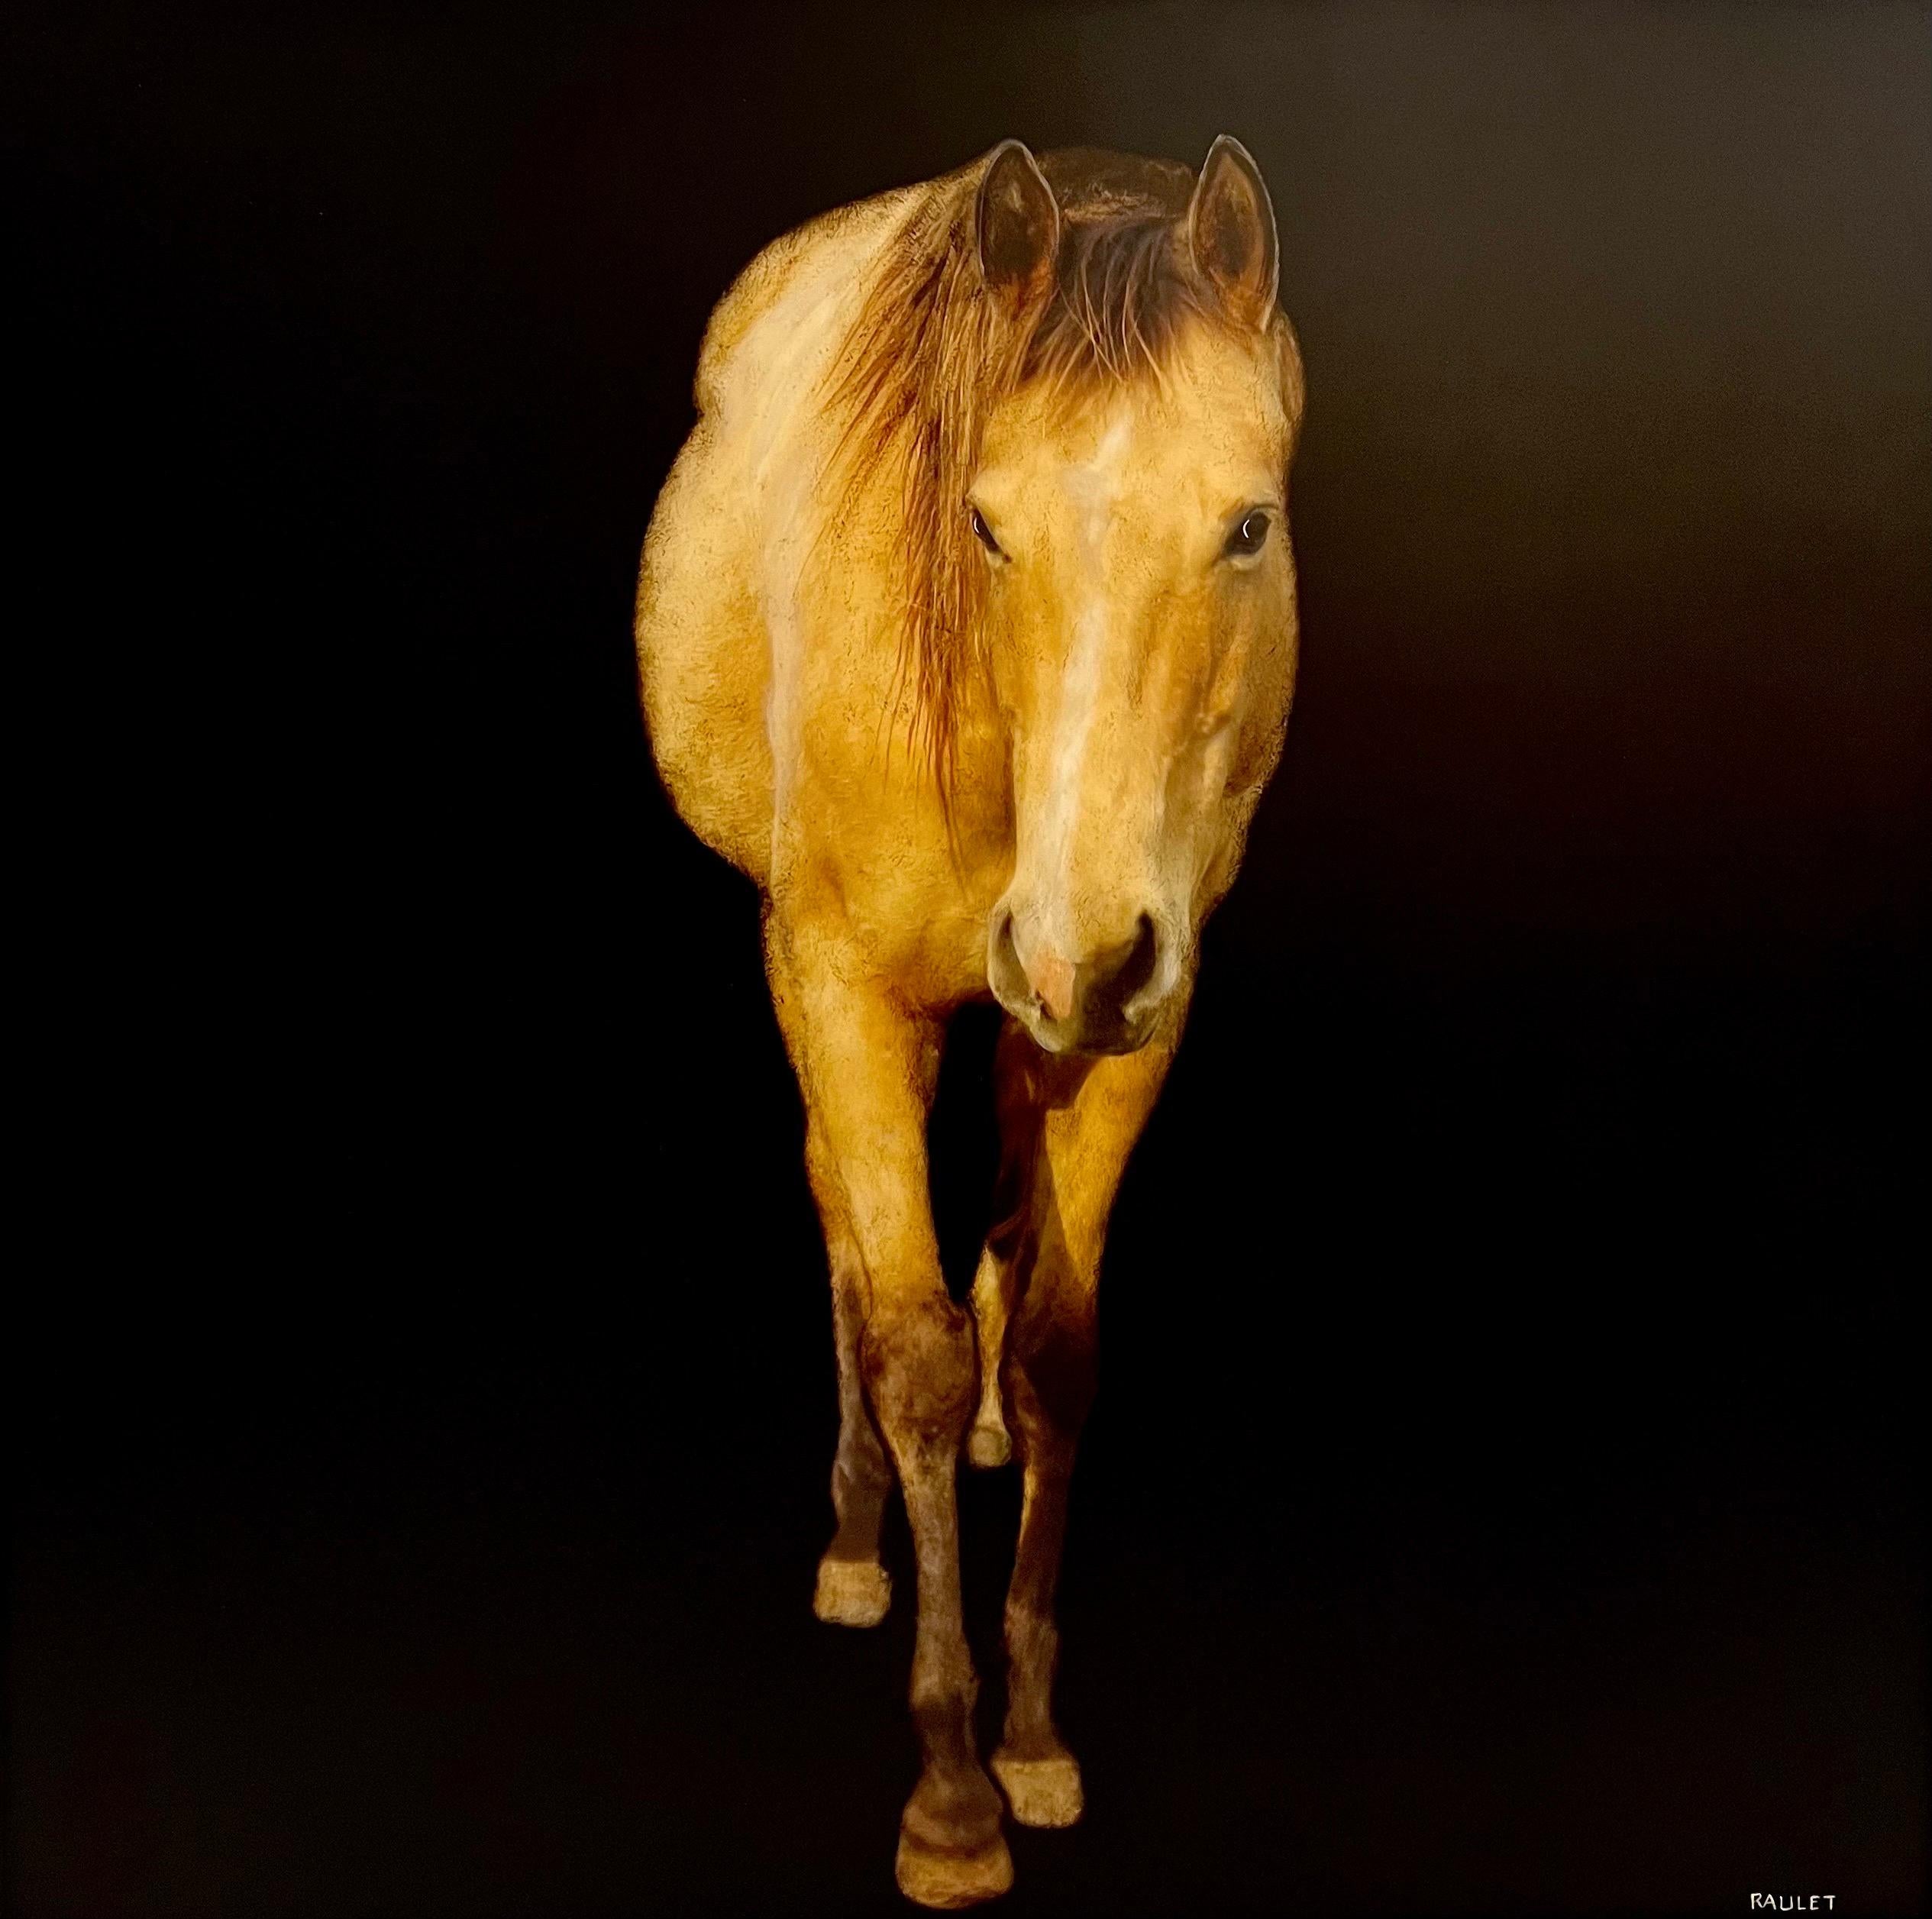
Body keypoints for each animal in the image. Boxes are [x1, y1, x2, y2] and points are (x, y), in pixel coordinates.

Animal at [635, 135, 1305, 1908]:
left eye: (1248, 523)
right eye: (986, 525)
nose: (1081, 945)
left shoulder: (1132, 1017)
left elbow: (1057, 1335)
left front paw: (1031, 1734)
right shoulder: (846, 987)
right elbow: (912, 1336)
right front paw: (946, 1792)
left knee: (1001, 1219)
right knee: (842, 1220)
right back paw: (860, 1530)